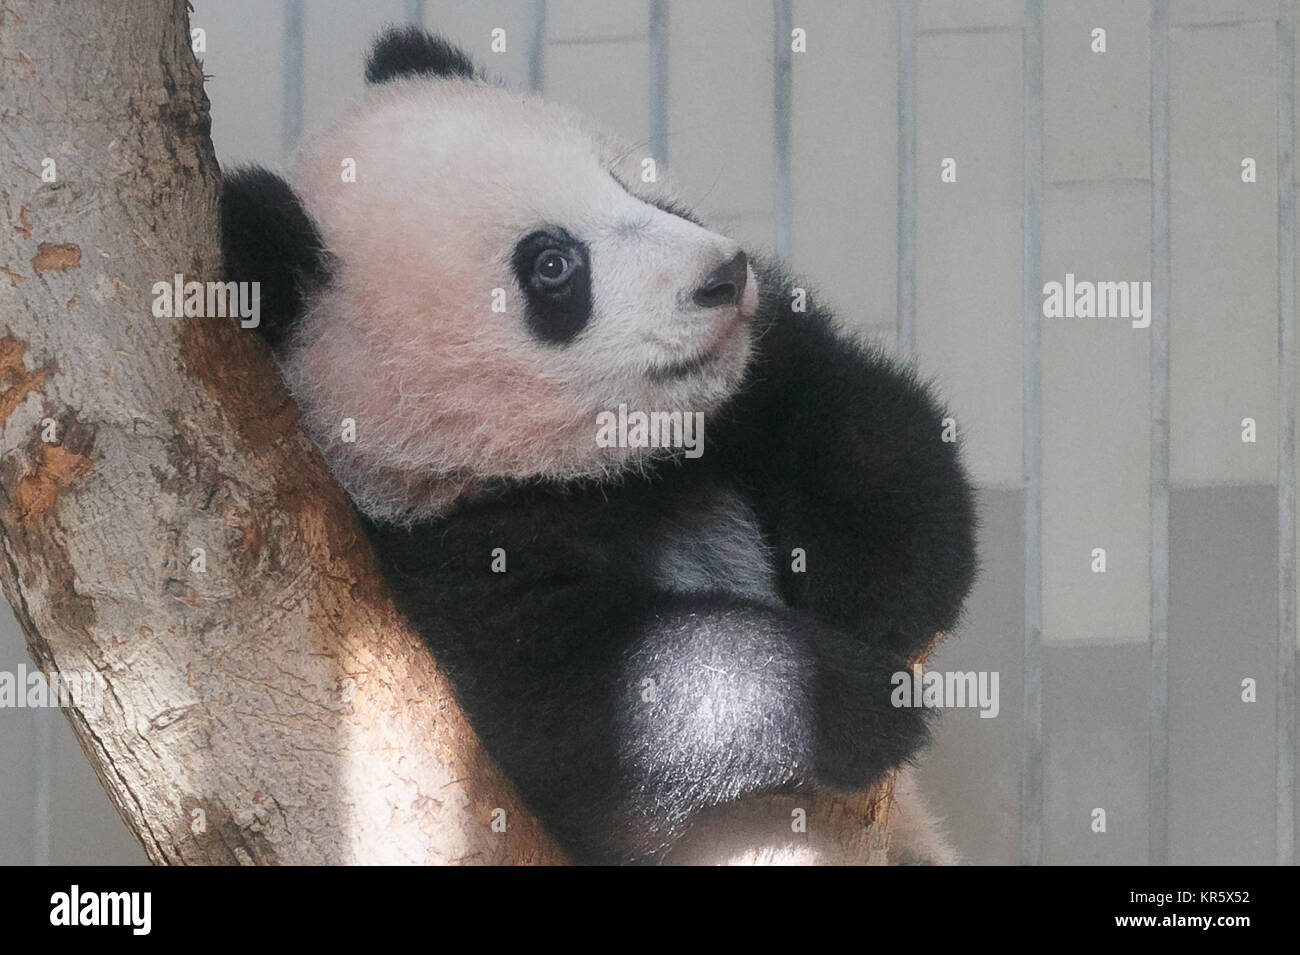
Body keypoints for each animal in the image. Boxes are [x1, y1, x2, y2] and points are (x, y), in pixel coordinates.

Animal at [221, 26, 977, 864]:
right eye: (553, 265)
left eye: (629, 183)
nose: (723, 276)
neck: (610, 472)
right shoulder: (426, 554)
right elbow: (580, 703)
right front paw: (844, 697)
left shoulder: (754, 377)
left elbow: (871, 431)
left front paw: (876, 595)